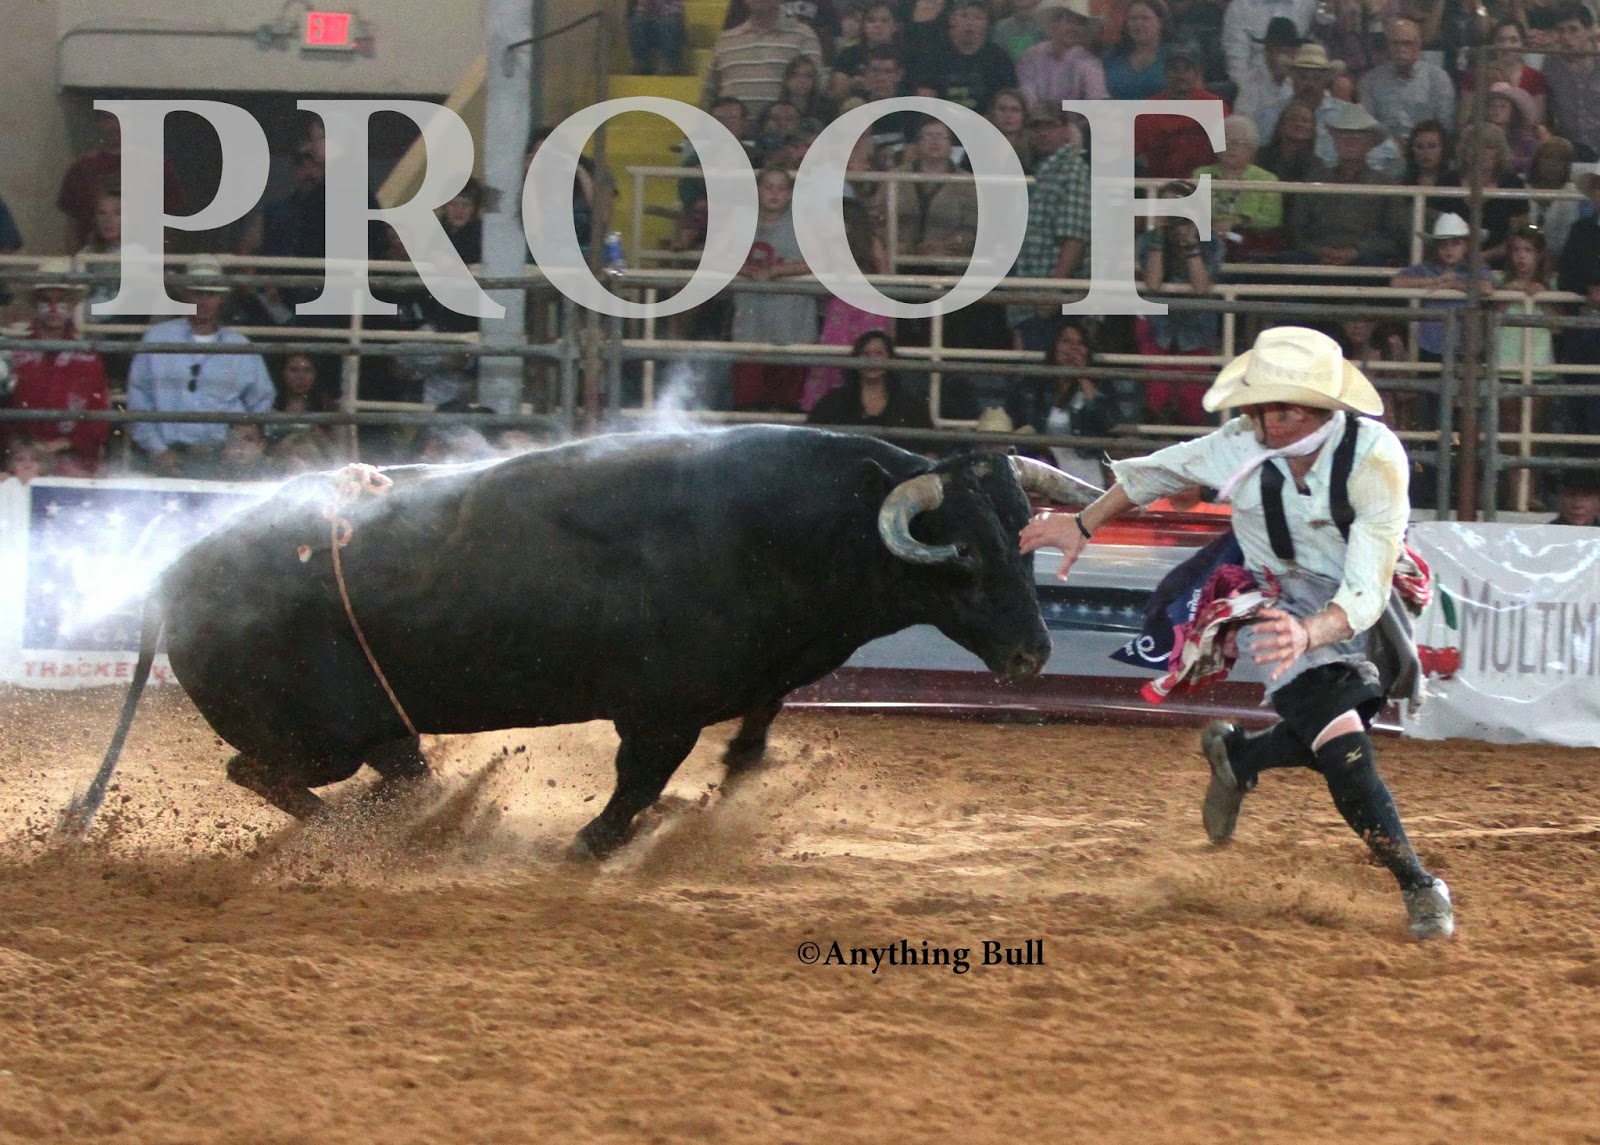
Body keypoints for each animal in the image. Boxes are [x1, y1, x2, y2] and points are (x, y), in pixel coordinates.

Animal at [76, 425, 1089, 857]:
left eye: (1025, 539)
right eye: (962, 557)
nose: (1033, 655)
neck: (798, 525)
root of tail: (173, 576)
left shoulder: (757, 677)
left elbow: (753, 731)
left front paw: (725, 784)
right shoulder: (659, 710)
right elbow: (635, 783)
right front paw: (595, 842)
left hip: (378, 733)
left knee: (394, 774)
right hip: (318, 737)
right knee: (261, 771)